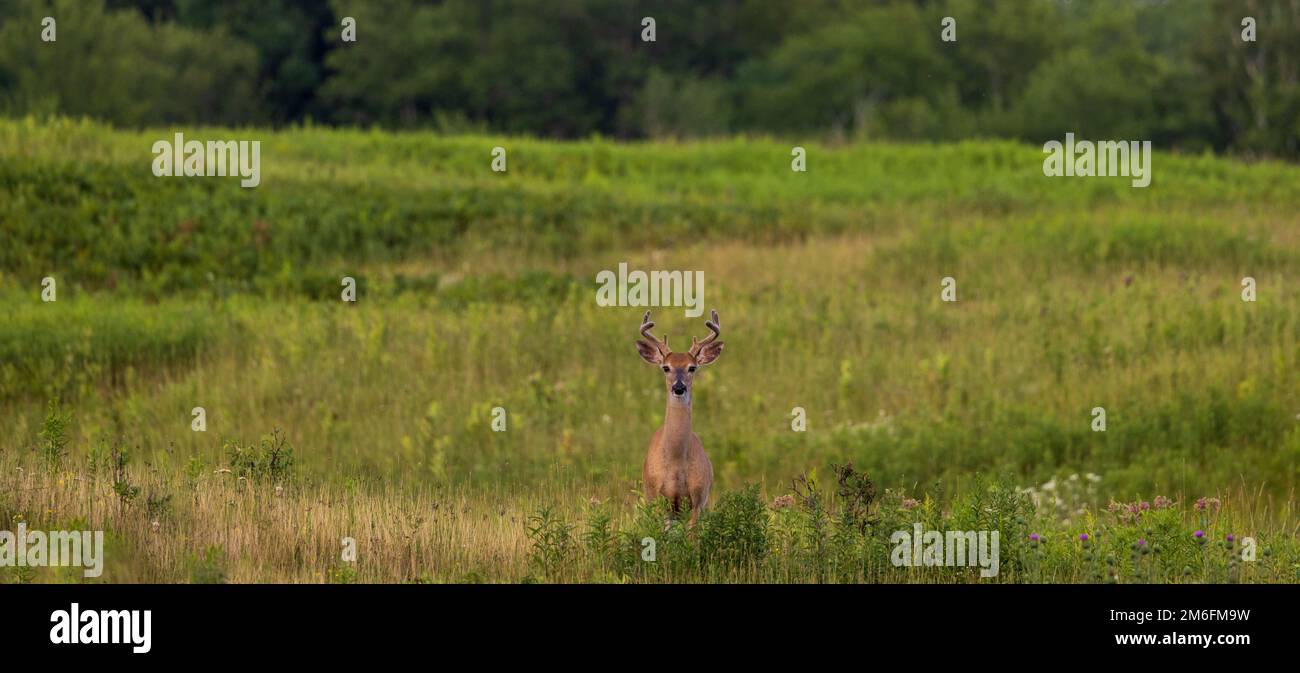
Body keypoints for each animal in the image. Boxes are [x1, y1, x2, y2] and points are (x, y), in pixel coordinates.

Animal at [635, 309, 723, 527]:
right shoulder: (657, 498)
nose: (679, 387)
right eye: (666, 367)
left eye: (692, 367)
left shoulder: (698, 499)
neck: (675, 464)